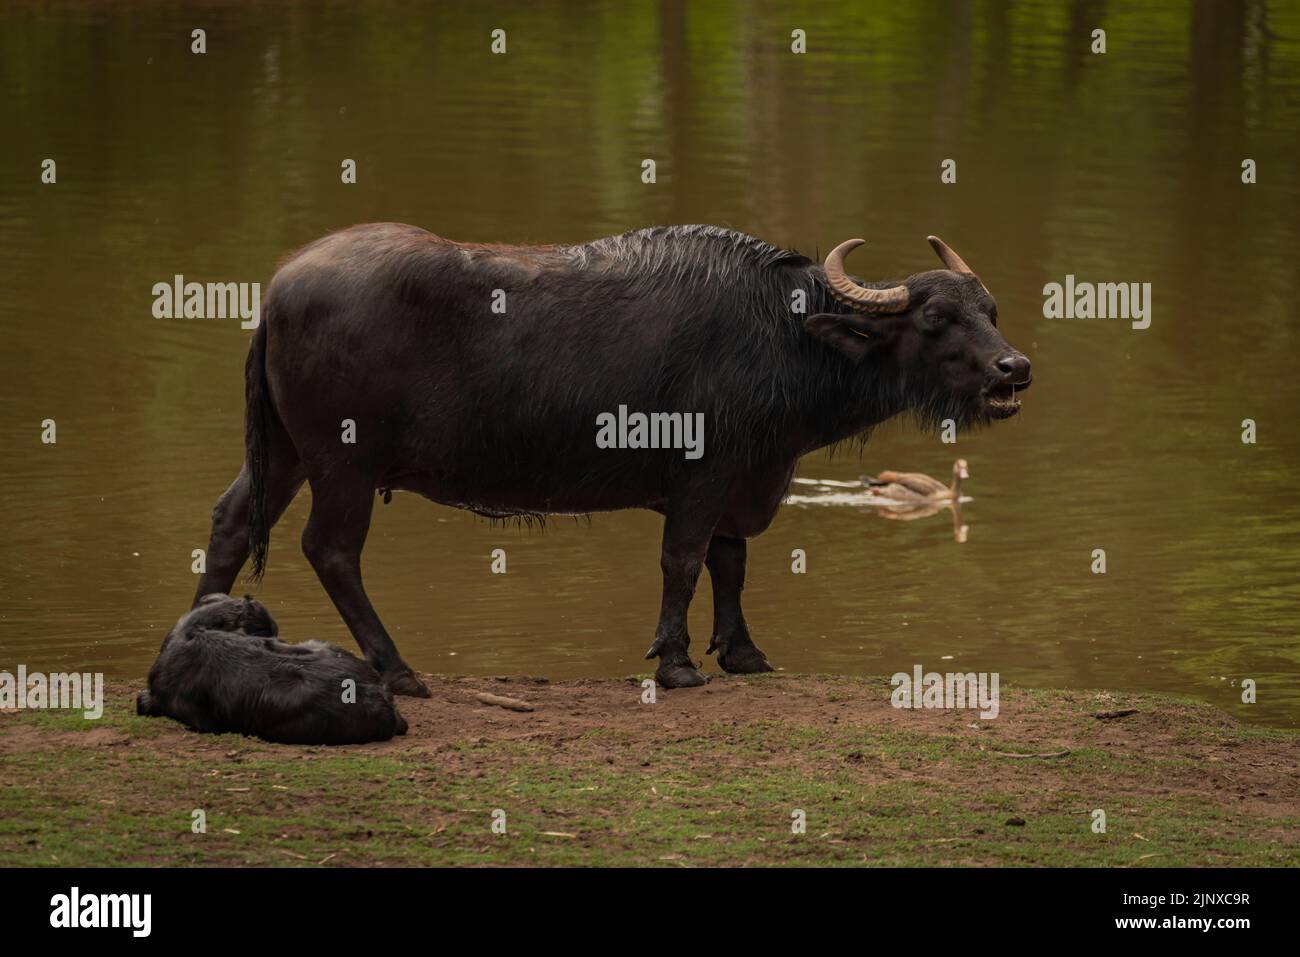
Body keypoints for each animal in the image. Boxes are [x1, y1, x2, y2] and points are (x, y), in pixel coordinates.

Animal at [192, 224, 1030, 693]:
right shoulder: (703, 472)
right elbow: (683, 560)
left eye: (990, 310)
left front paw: (744, 652)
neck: (782, 334)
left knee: (231, 520)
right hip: (344, 462)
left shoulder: (743, 478)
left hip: (287, 450)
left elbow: (731, 562)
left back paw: (201, 634)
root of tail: (277, 291)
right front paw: (677, 662)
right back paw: (398, 668)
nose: (1014, 369)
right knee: (331, 549)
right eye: (935, 316)